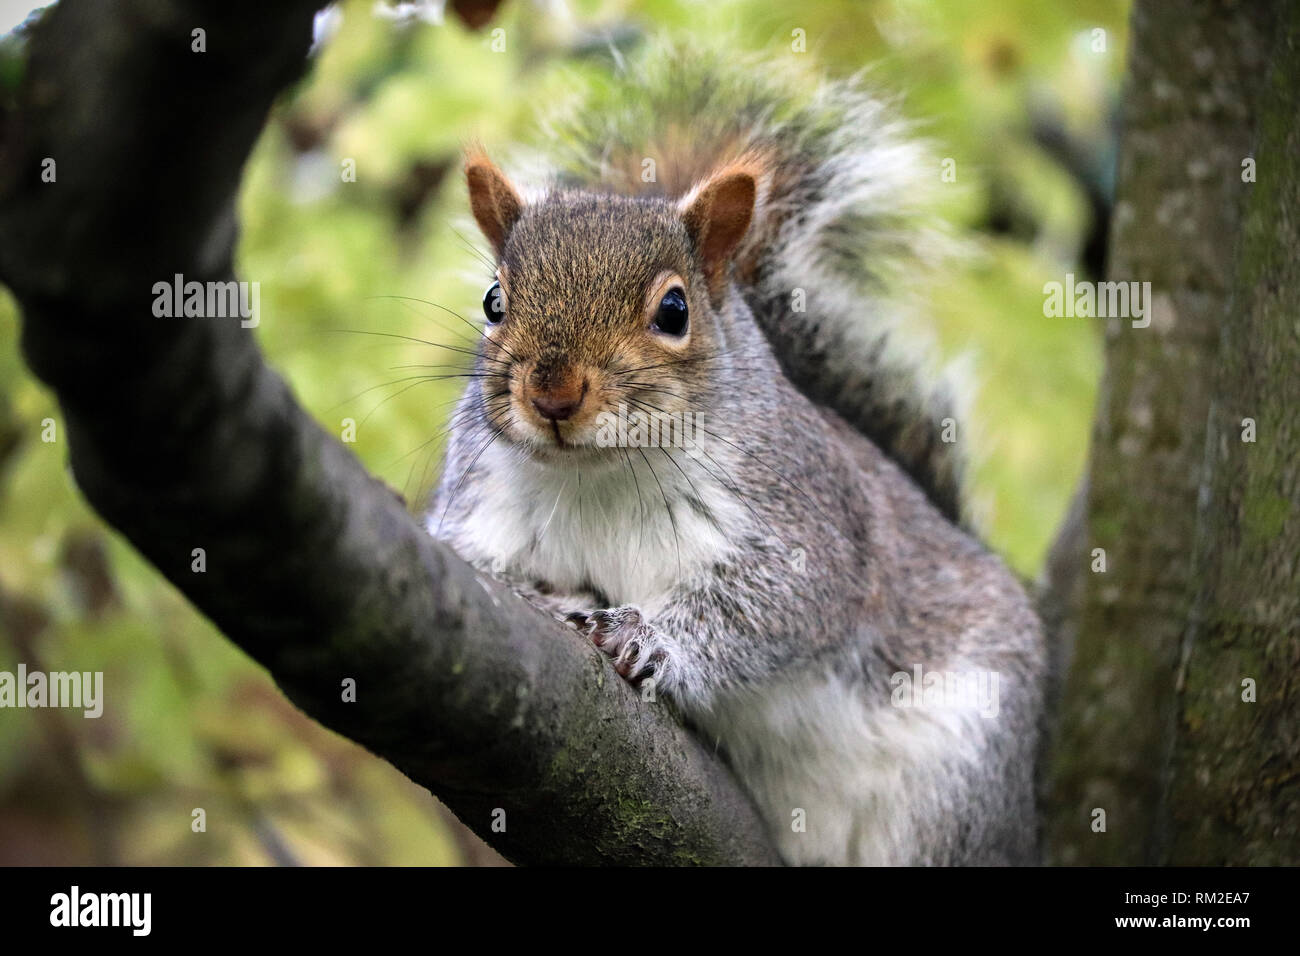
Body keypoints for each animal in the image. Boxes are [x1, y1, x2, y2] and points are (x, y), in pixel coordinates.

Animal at [430, 47, 1045, 866]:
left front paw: (648, 638)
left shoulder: (803, 519)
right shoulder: (474, 507)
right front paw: (552, 600)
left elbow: (776, 606)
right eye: (494, 301)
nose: (552, 393)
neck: (601, 475)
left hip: (961, 785)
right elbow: (479, 564)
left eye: (674, 310)